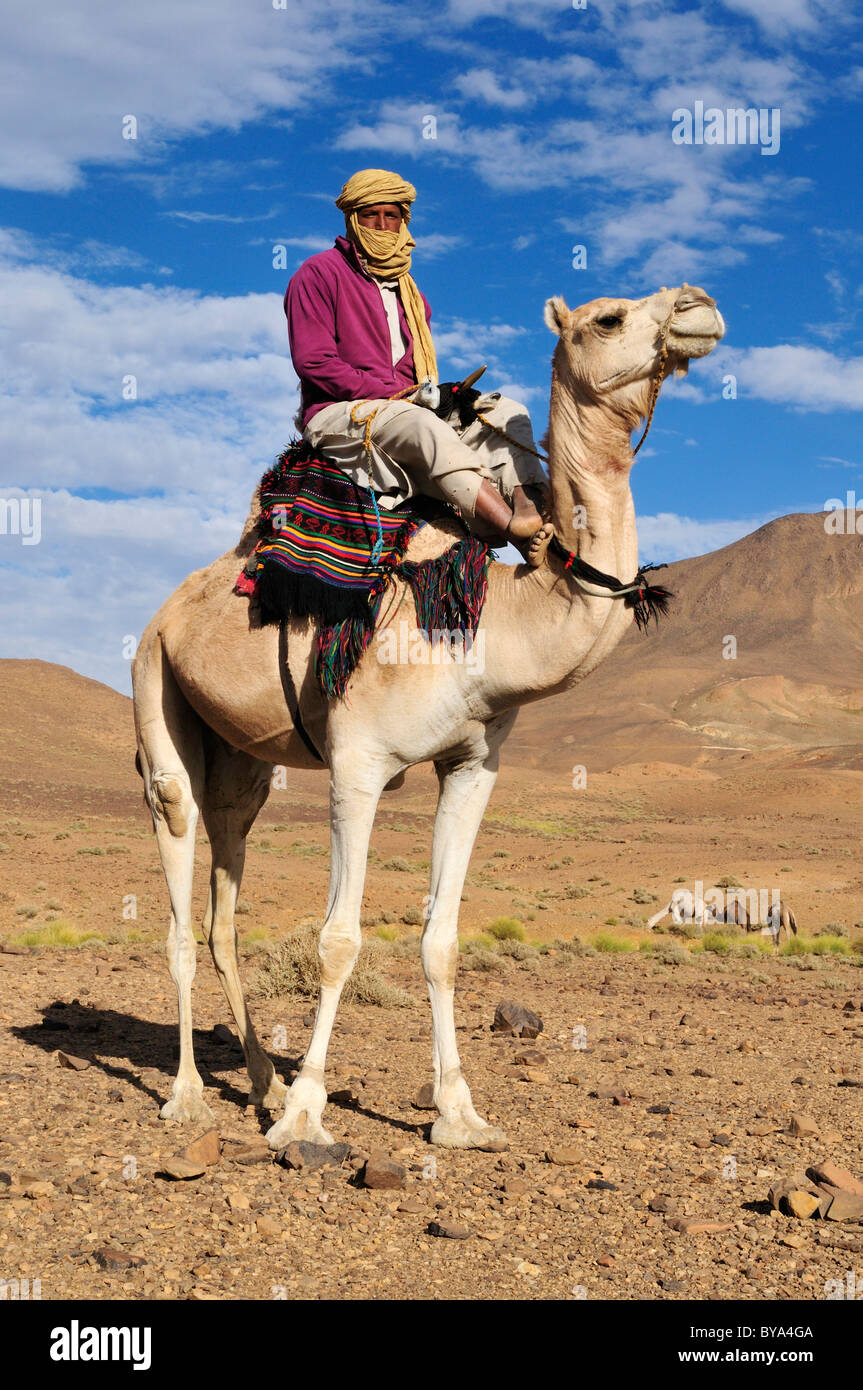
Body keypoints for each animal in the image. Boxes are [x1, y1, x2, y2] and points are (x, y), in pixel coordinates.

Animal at [131, 283, 725, 1151]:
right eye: (608, 318)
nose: (698, 305)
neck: (499, 624)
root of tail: (167, 612)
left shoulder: (471, 766)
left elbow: (441, 942)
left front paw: (460, 1114)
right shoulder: (356, 765)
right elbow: (338, 941)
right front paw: (307, 1117)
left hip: (243, 761)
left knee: (223, 906)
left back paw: (262, 1083)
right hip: (155, 687)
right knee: (177, 875)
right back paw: (187, 1096)